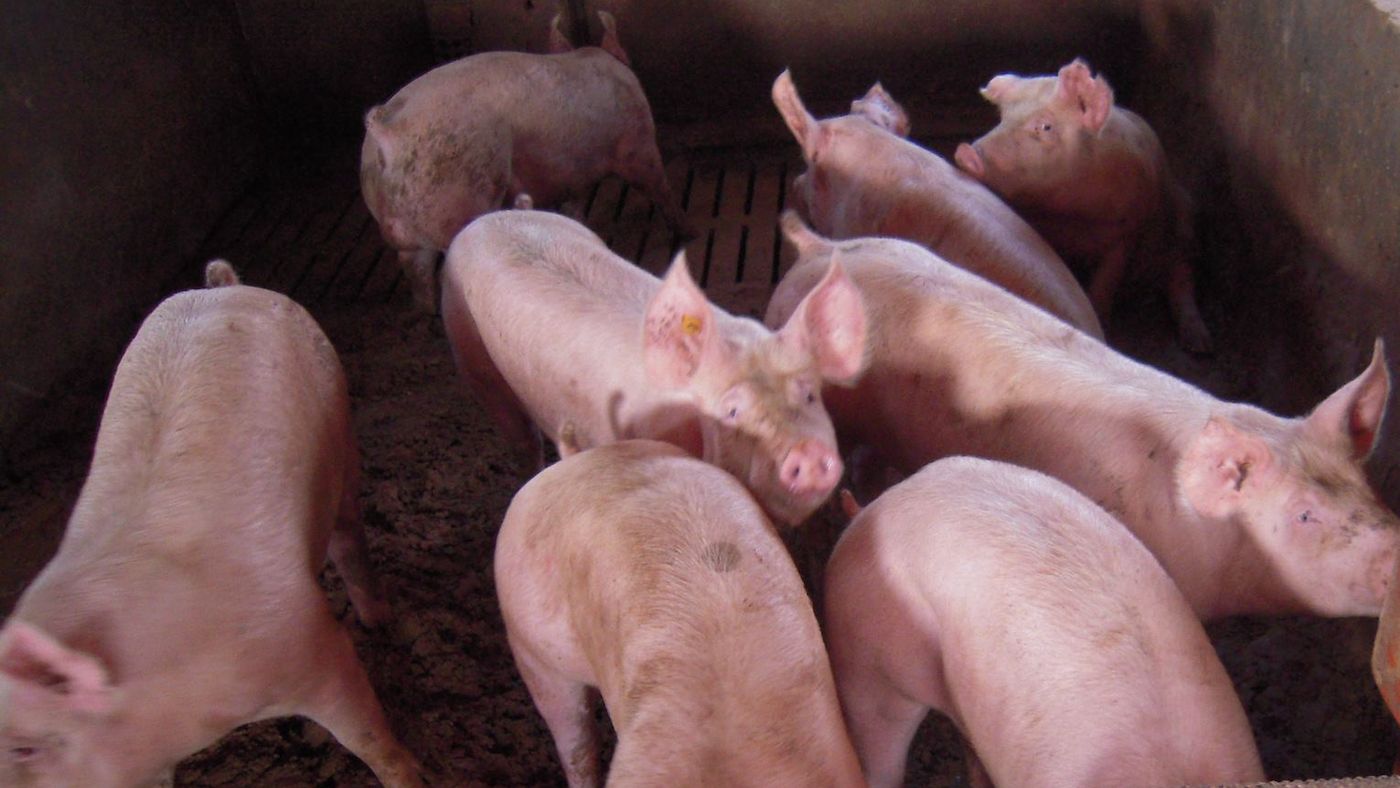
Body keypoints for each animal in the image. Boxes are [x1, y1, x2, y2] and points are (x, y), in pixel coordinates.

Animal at [0, 261, 421, 787]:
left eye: (25, 748)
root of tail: (223, 289)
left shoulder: (310, 646)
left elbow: (365, 736)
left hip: (338, 413)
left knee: (347, 535)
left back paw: (377, 620)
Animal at [359, 10, 690, 312]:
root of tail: (386, 130)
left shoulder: (565, 172)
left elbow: (573, 203)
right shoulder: (636, 143)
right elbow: (659, 186)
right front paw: (685, 234)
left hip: (407, 230)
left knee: (419, 277)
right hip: (454, 191)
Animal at [440, 209, 868, 526]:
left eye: (809, 394)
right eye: (731, 411)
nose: (807, 452)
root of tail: (487, 217)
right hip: (471, 354)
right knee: (520, 433)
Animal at [955, 58, 1212, 352]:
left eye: (1045, 127)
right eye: (1002, 119)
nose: (965, 152)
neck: (1070, 216)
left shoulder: (1126, 234)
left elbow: (1104, 285)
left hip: (1186, 225)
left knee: (1182, 278)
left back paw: (1201, 345)